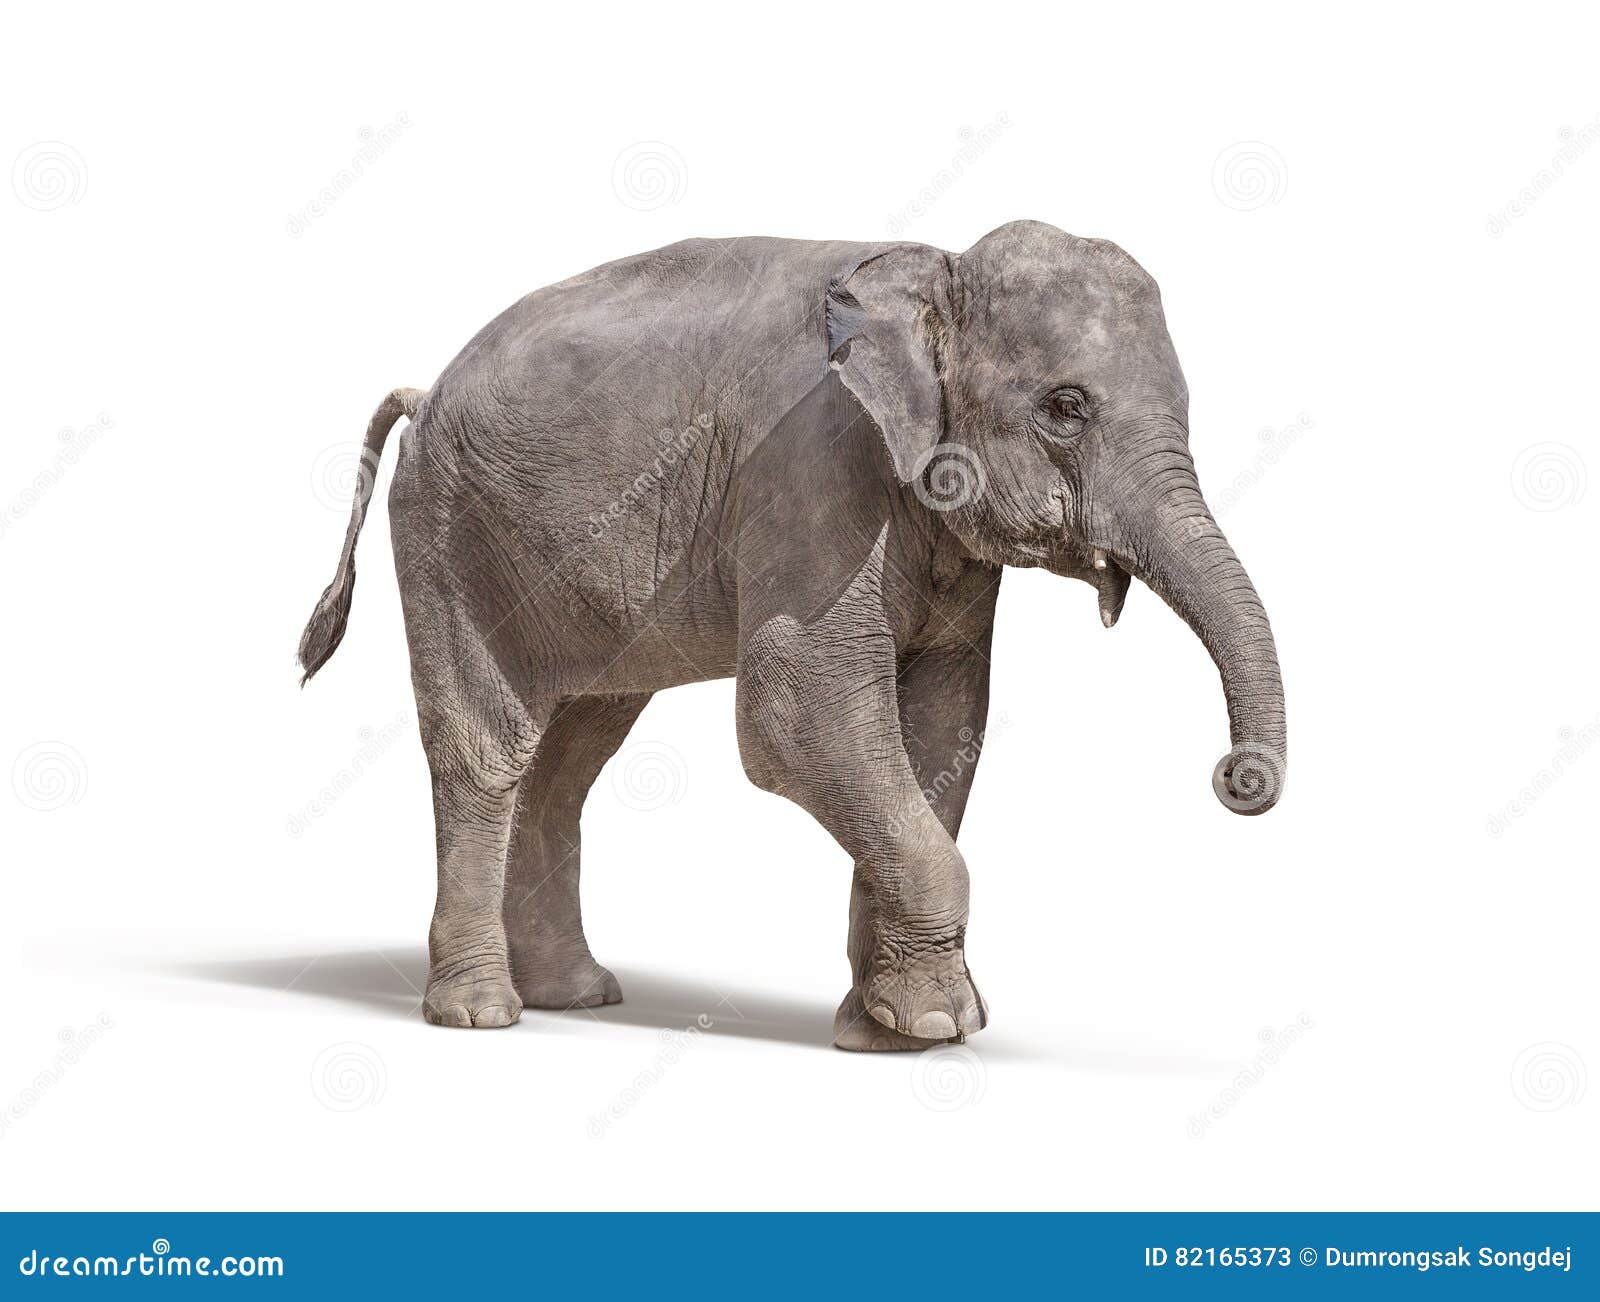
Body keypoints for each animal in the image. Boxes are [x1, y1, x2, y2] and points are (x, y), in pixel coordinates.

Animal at [298, 220, 1286, 1051]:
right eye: (1066, 407)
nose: (1237, 776)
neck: (933, 266)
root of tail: (426, 391)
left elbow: (944, 723)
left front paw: (880, 1030)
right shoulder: (811, 465)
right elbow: (800, 716)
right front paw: (938, 1024)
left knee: (570, 757)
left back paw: (574, 998)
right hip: (450, 535)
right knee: (489, 749)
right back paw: (481, 1015)